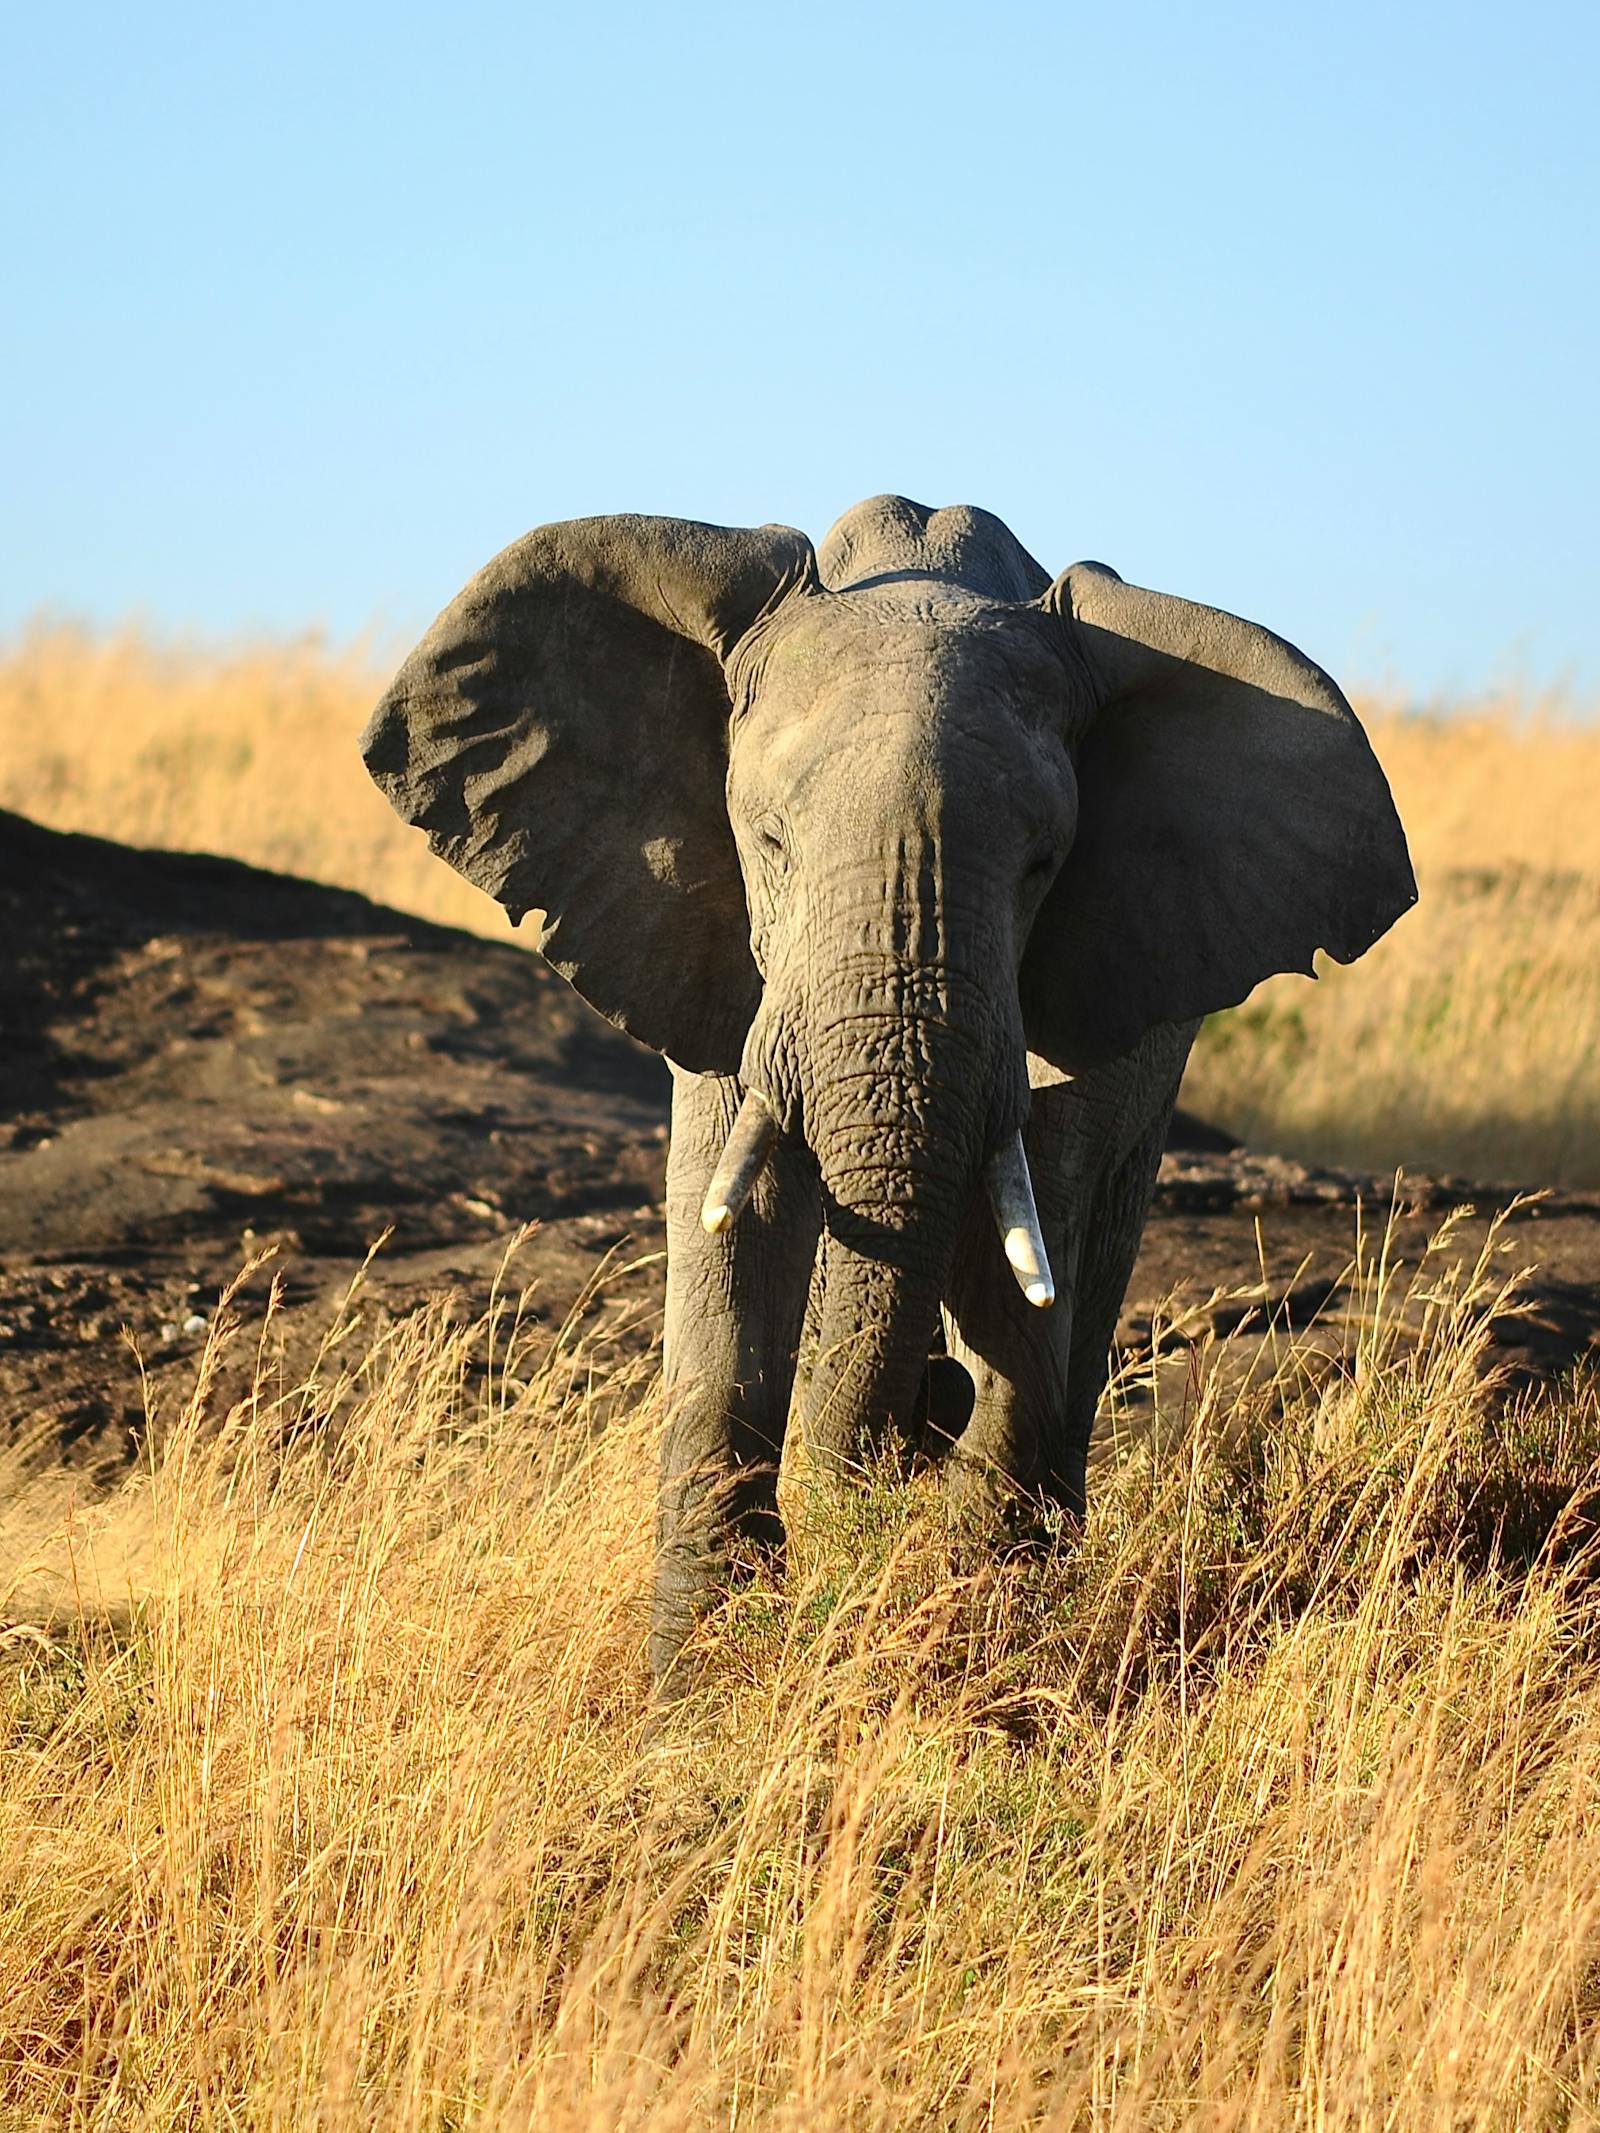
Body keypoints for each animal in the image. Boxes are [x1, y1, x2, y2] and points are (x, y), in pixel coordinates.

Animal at [360, 494, 1416, 1685]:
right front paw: (694, 1692)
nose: (925, 1406)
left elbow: (1020, 1261)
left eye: (1045, 864)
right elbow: (731, 1235)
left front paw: (992, 1663)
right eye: (768, 839)